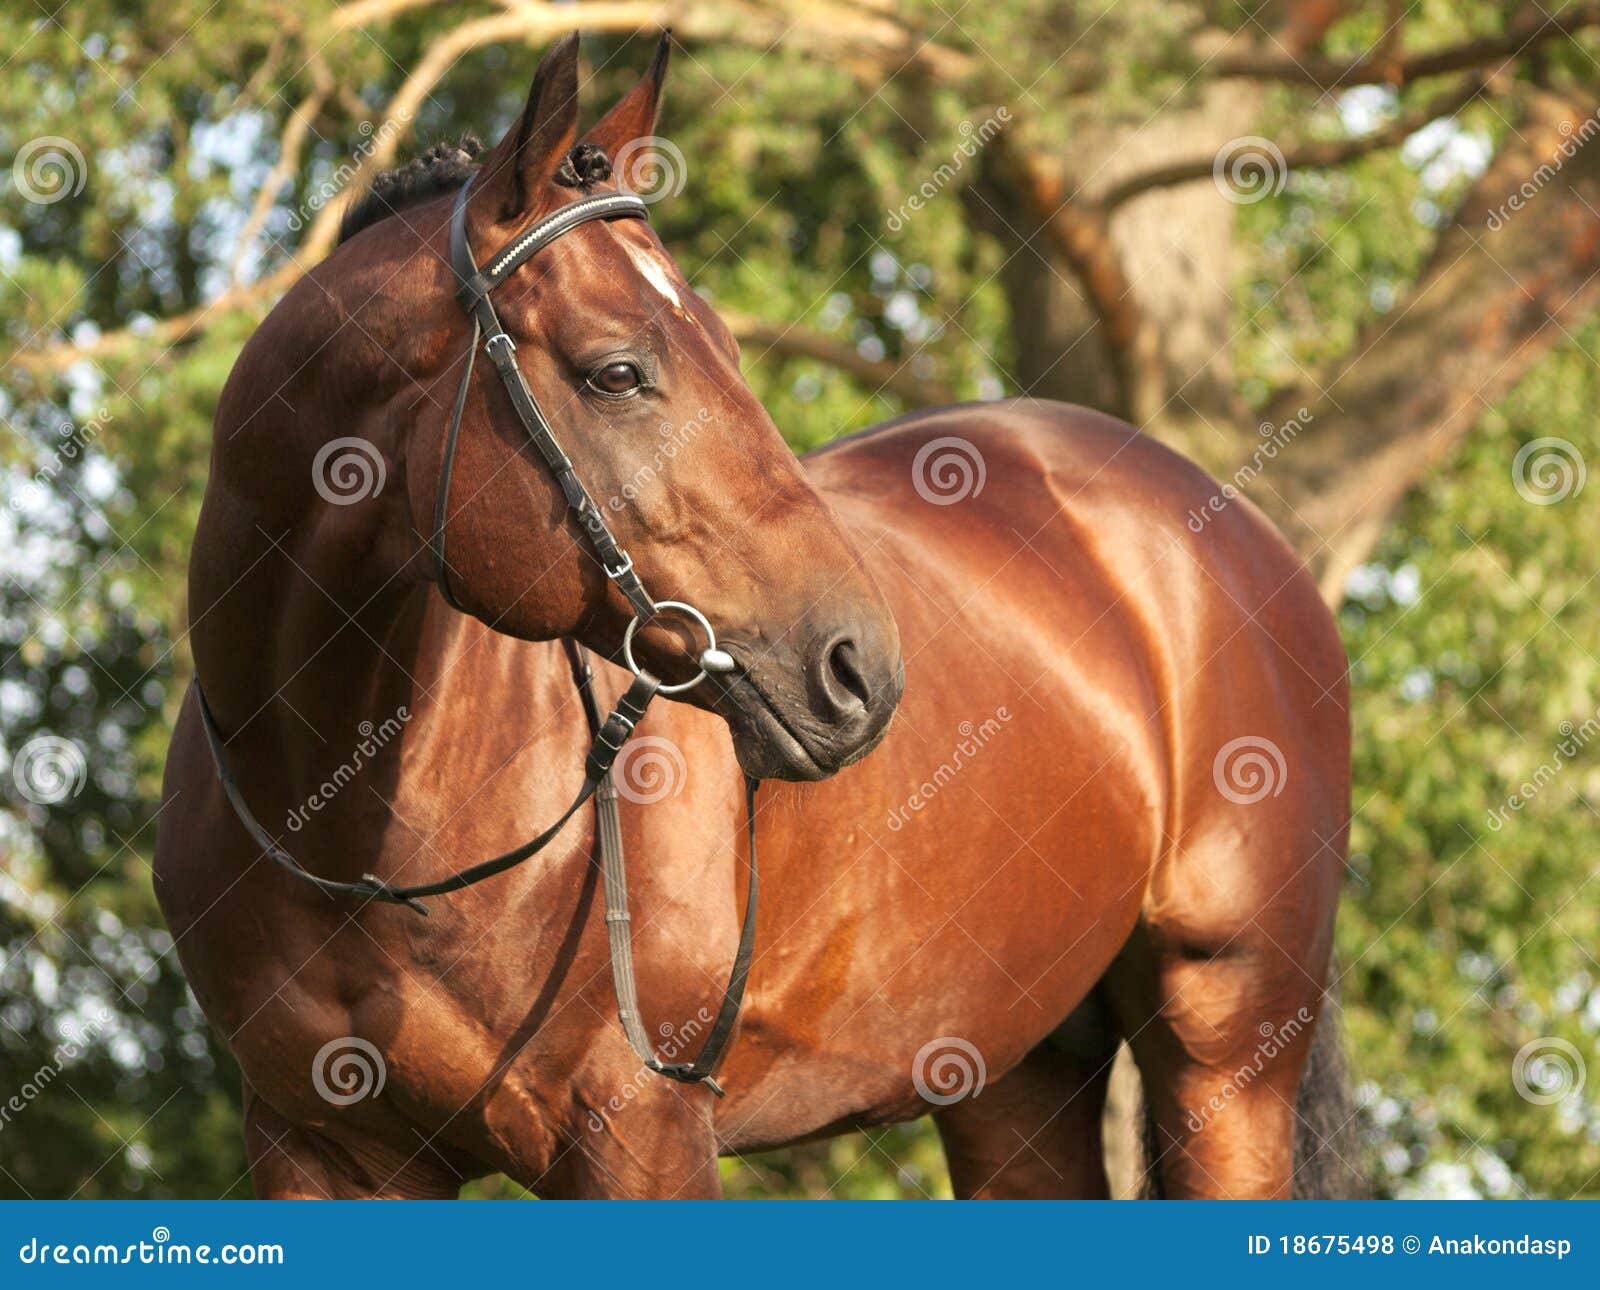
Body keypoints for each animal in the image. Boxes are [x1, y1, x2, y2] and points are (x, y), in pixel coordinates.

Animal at [153, 33, 1355, 1199]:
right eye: (618, 372)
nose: (859, 670)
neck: (365, 830)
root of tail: (1226, 528)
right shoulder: (324, 1151)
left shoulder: (643, 1131)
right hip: (1010, 1077)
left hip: (1223, 1056)